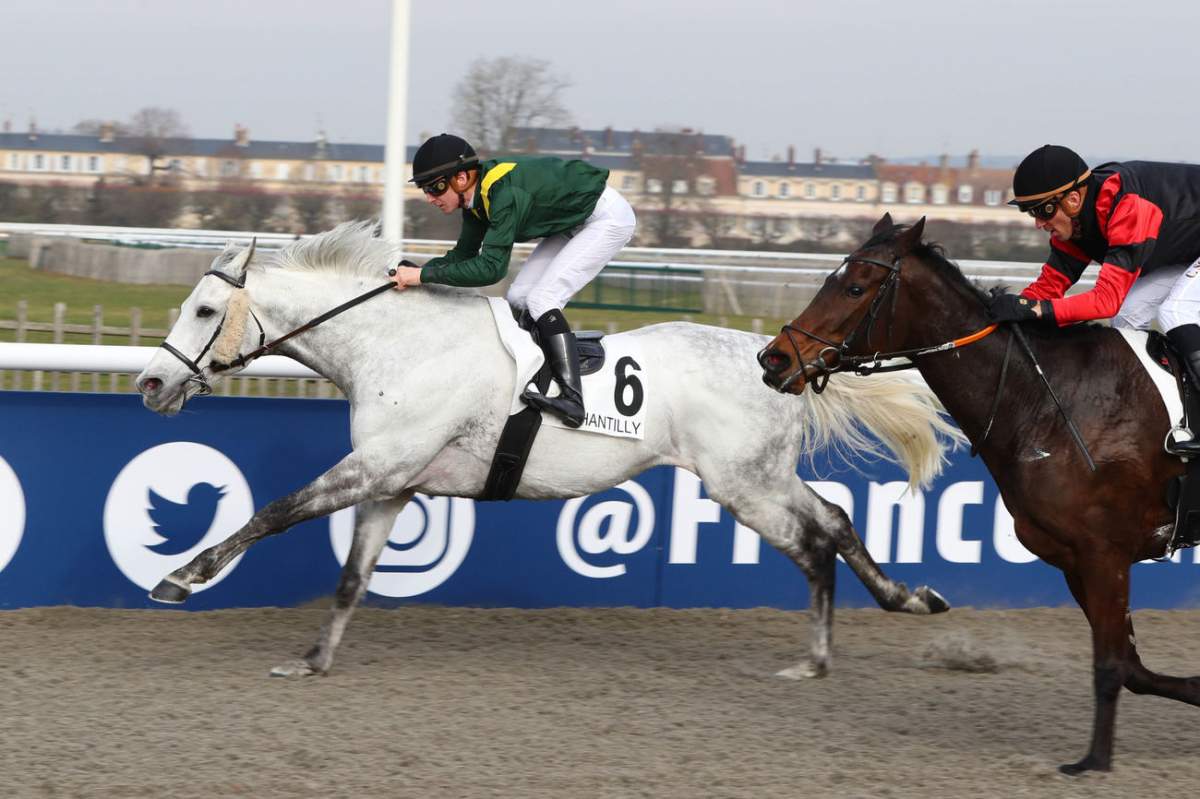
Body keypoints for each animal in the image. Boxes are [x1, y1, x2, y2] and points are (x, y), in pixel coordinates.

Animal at [134, 221, 961, 681]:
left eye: (203, 309)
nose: (150, 383)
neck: (397, 343)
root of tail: (781, 363)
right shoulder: (391, 482)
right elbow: (350, 578)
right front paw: (312, 660)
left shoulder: (380, 465)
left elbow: (274, 511)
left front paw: (182, 576)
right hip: (757, 477)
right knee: (837, 519)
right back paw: (904, 599)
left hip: (741, 483)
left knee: (816, 541)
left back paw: (820, 655)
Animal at [758, 212, 1200, 773]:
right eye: (827, 280)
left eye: (856, 286)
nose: (773, 359)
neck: (1048, 402)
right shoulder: (1075, 560)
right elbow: (1131, 665)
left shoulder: (1105, 555)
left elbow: (1110, 664)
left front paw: (1093, 761)